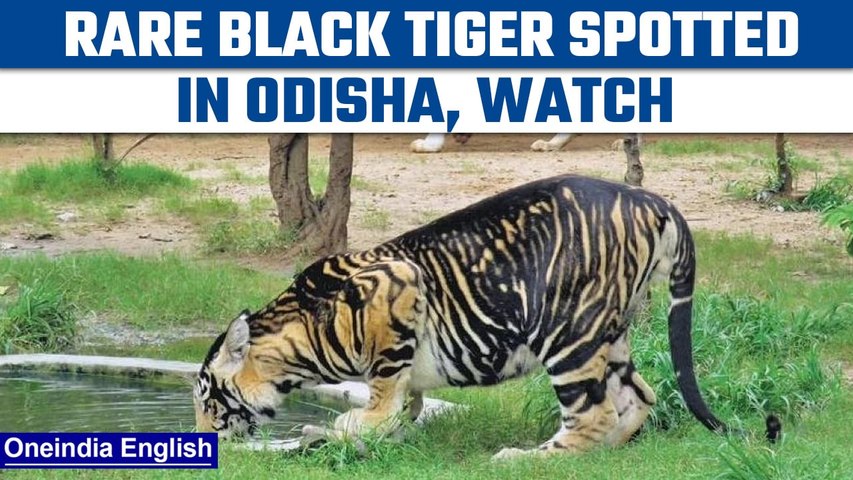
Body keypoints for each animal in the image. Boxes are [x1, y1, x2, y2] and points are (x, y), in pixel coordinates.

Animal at [193, 174, 779, 459]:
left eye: (206, 398)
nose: (201, 436)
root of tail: (651, 199)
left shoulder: (396, 288)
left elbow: (382, 394)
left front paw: (350, 427)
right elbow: (404, 403)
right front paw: (354, 435)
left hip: (568, 330)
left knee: (591, 415)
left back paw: (526, 459)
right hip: (610, 332)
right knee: (636, 399)